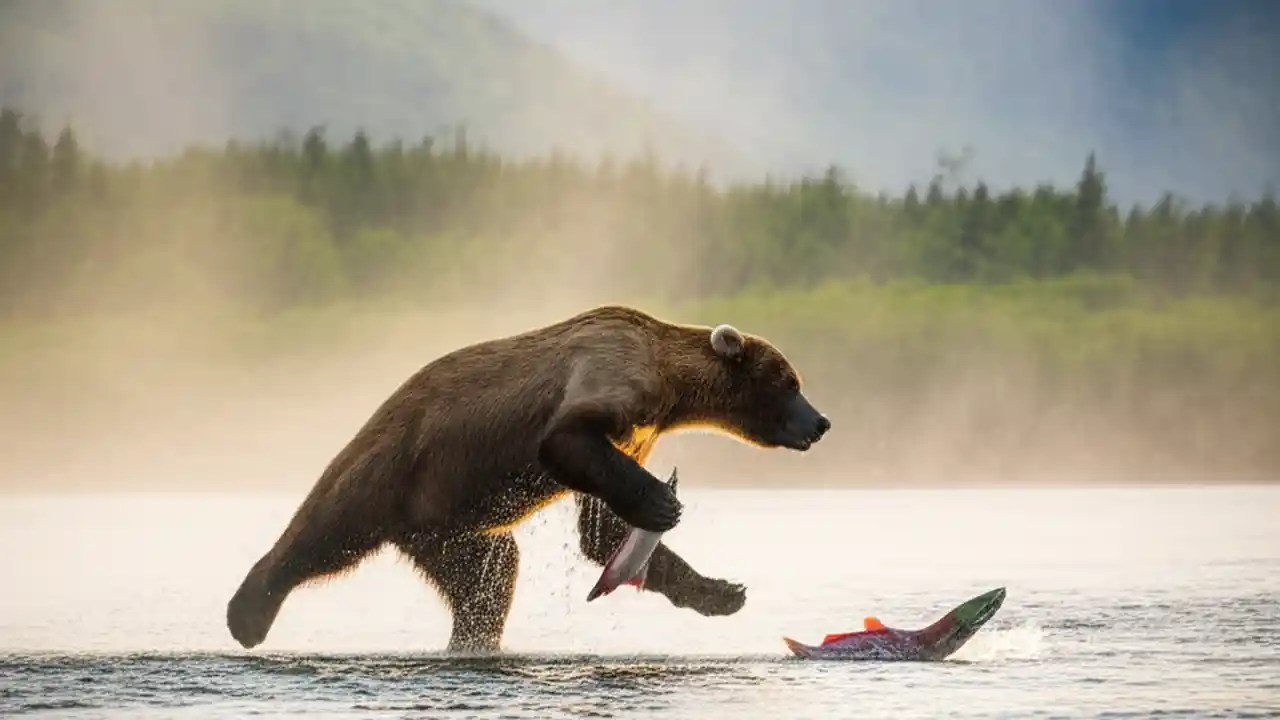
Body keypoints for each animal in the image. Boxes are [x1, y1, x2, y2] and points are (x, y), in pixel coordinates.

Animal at [226, 305, 831, 652]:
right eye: (790, 381)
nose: (821, 422)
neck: (672, 388)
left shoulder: (637, 432)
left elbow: (601, 529)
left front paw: (722, 592)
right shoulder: (613, 377)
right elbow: (564, 439)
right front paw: (664, 504)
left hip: (446, 525)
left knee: (488, 578)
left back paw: (474, 639)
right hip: (395, 465)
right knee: (326, 530)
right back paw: (248, 612)